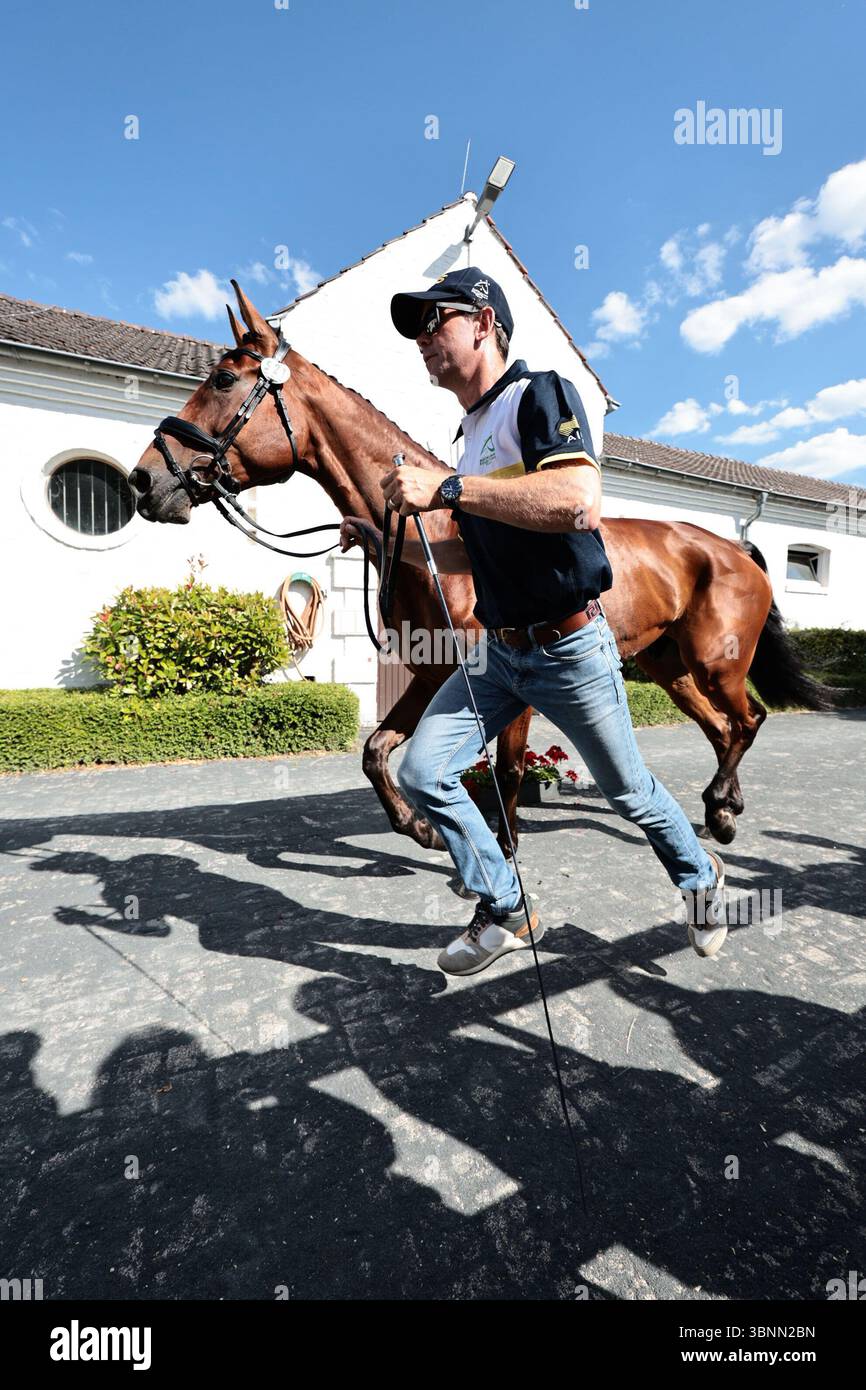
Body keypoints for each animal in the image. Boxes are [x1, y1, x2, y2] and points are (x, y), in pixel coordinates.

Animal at [129, 281, 840, 854]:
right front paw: (419, 827)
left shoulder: (506, 691)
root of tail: (734, 549)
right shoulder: (433, 677)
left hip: (717, 662)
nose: (144, 479)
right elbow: (376, 751)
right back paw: (722, 810)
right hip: (668, 668)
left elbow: (507, 774)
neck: (433, 541)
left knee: (747, 721)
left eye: (223, 380)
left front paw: (502, 858)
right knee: (723, 729)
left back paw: (721, 806)